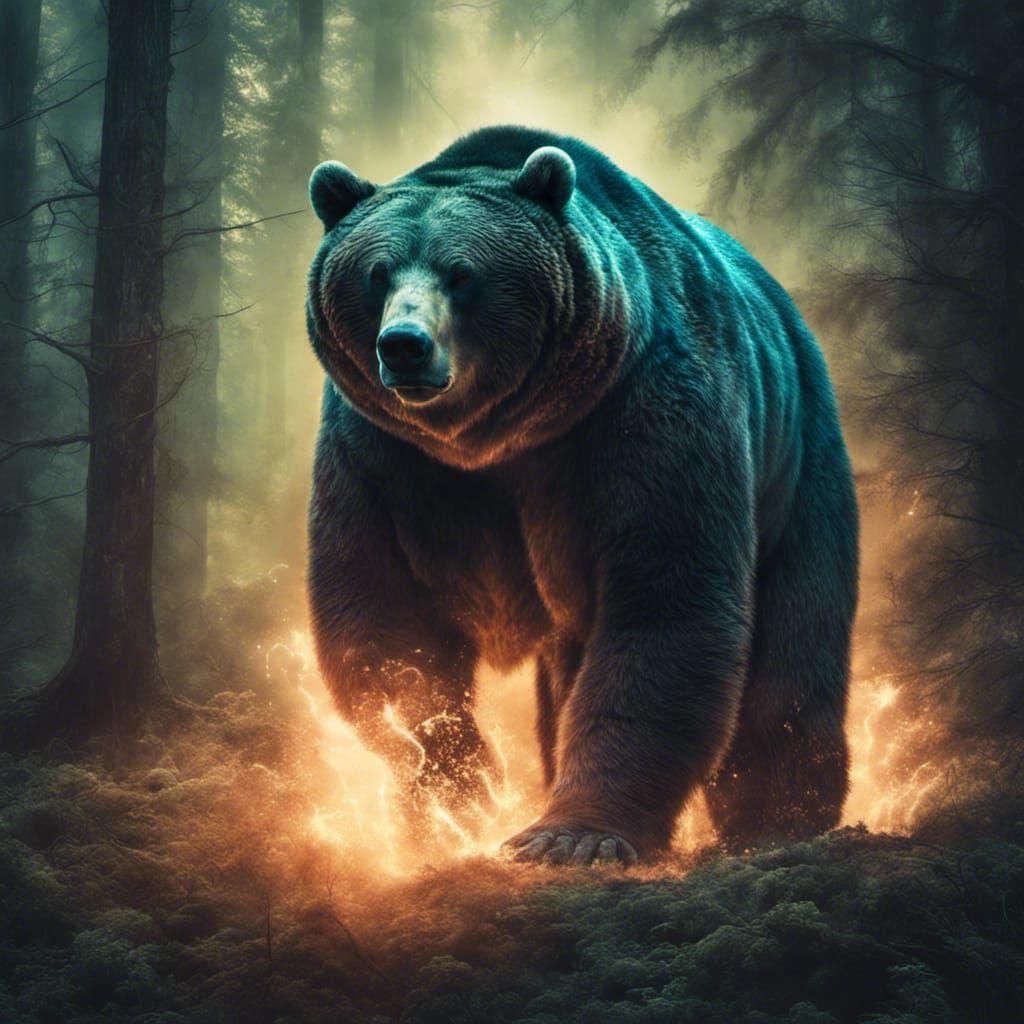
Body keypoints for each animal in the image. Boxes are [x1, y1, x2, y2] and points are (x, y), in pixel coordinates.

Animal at [304, 126, 859, 864]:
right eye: (376, 273)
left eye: (462, 273)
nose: (404, 346)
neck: (501, 434)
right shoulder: (382, 456)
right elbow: (385, 630)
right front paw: (459, 788)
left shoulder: (643, 415)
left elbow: (664, 597)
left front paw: (570, 835)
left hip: (798, 458)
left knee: (793, 639)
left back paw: (781, 815)